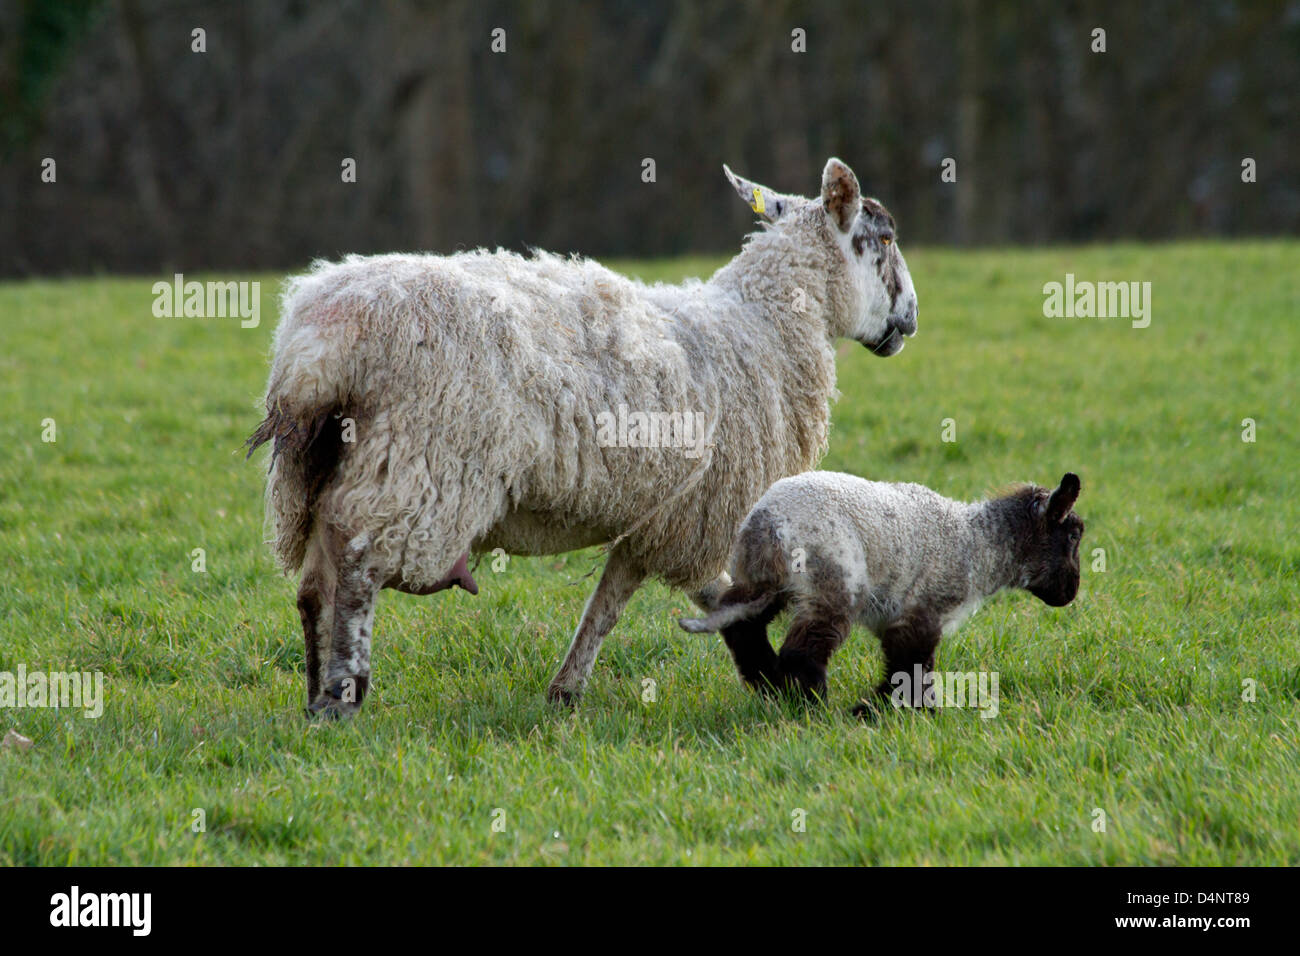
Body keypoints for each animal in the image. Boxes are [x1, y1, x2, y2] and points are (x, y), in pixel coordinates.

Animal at [246, 157, 919, 717]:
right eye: (885, 240)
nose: (911, 320)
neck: (766, 322)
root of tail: (318, 345)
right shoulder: (703, 513)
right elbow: (721, 602)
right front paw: (783, 683)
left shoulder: (664, 514)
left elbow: (609, 604)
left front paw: (565, 693)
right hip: (420, 464)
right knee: (358, 566)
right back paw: (343, 695)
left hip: (320, 471)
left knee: (315, 582)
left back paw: (315, 692)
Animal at [679, 472, 1084, 714]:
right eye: (1074, 535)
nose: (1071, 593)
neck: (978, 544)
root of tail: (768, 521)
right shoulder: (922, 611)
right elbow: (912, 666)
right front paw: (909, 711)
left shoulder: (895, 616)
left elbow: (901, 665)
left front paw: (880, 708)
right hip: (834, 582)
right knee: (801, 650)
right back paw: (810, 705)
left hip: (759, 581)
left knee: (740, 624)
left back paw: (768, 684)